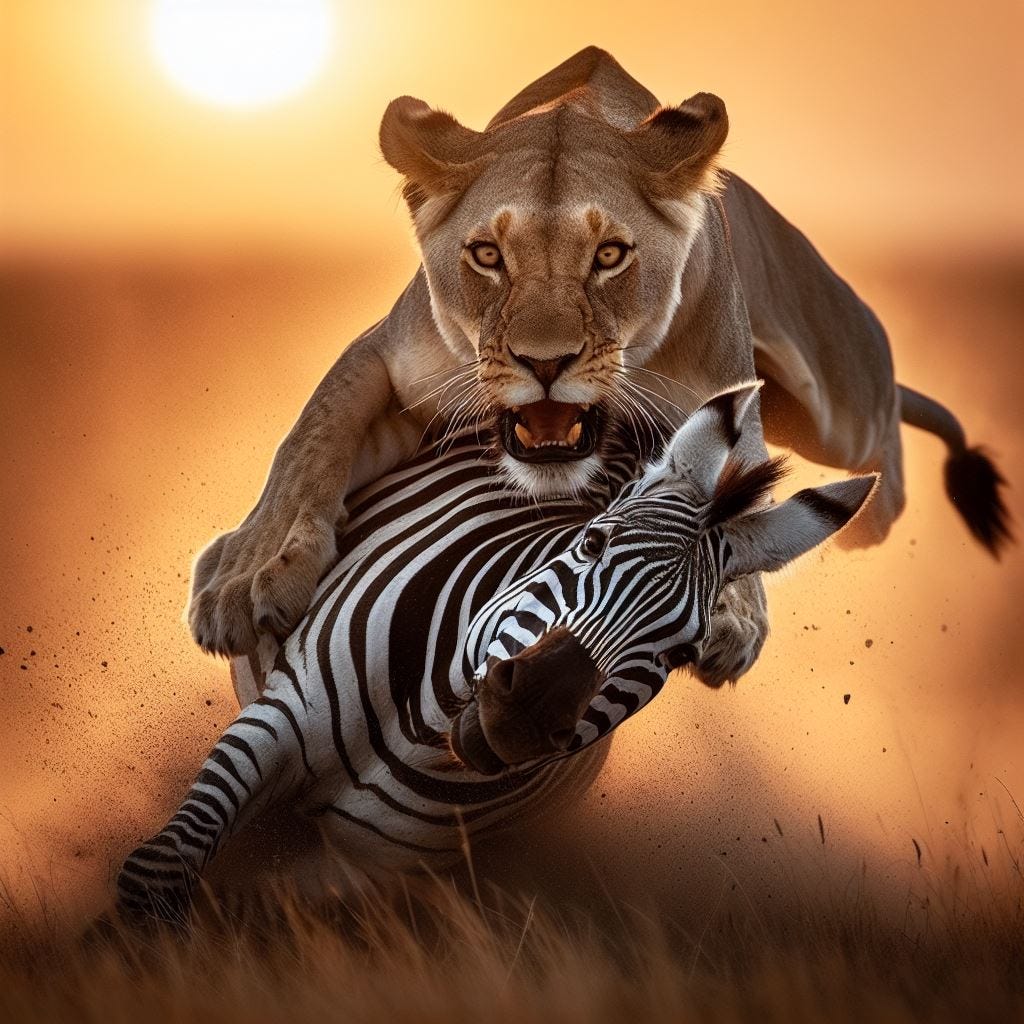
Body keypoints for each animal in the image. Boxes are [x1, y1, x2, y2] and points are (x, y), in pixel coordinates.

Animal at [187, 47, 1010, 686]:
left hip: (838, 397)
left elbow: (738, 482)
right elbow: (310, 438)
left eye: (609, 255)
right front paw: (244, 574)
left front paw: (733, 615)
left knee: (884, 446)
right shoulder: (394, 358)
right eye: (487, 255)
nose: (544, 362)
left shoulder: (728, 396)